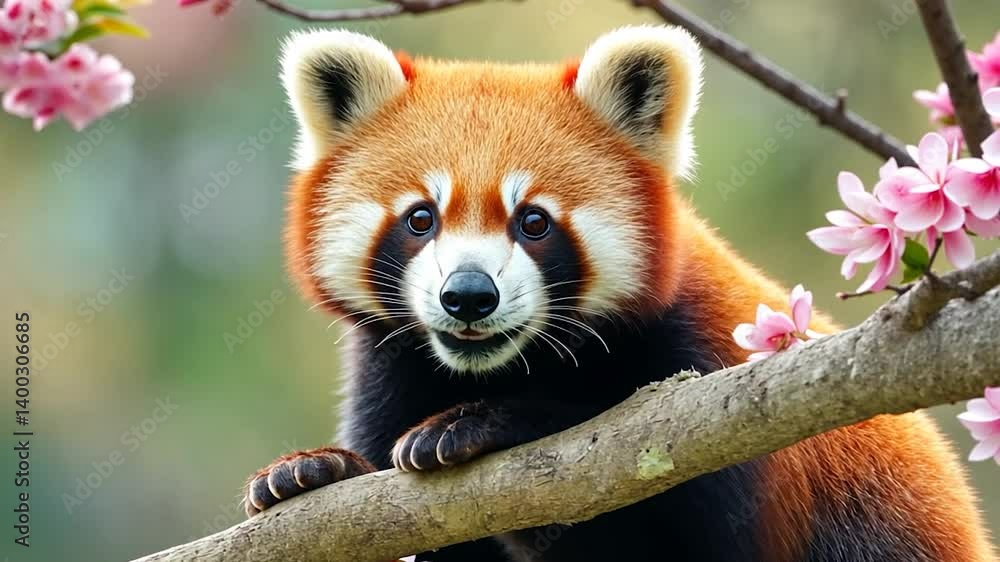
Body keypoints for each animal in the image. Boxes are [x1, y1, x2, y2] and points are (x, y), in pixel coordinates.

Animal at [242, 26, 995, 562]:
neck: (511, 367)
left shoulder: (712, 395)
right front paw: (313, 471)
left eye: (533, 222)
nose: (469, 296)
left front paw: (487, 425)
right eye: (420, 218)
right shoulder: (389, 373)